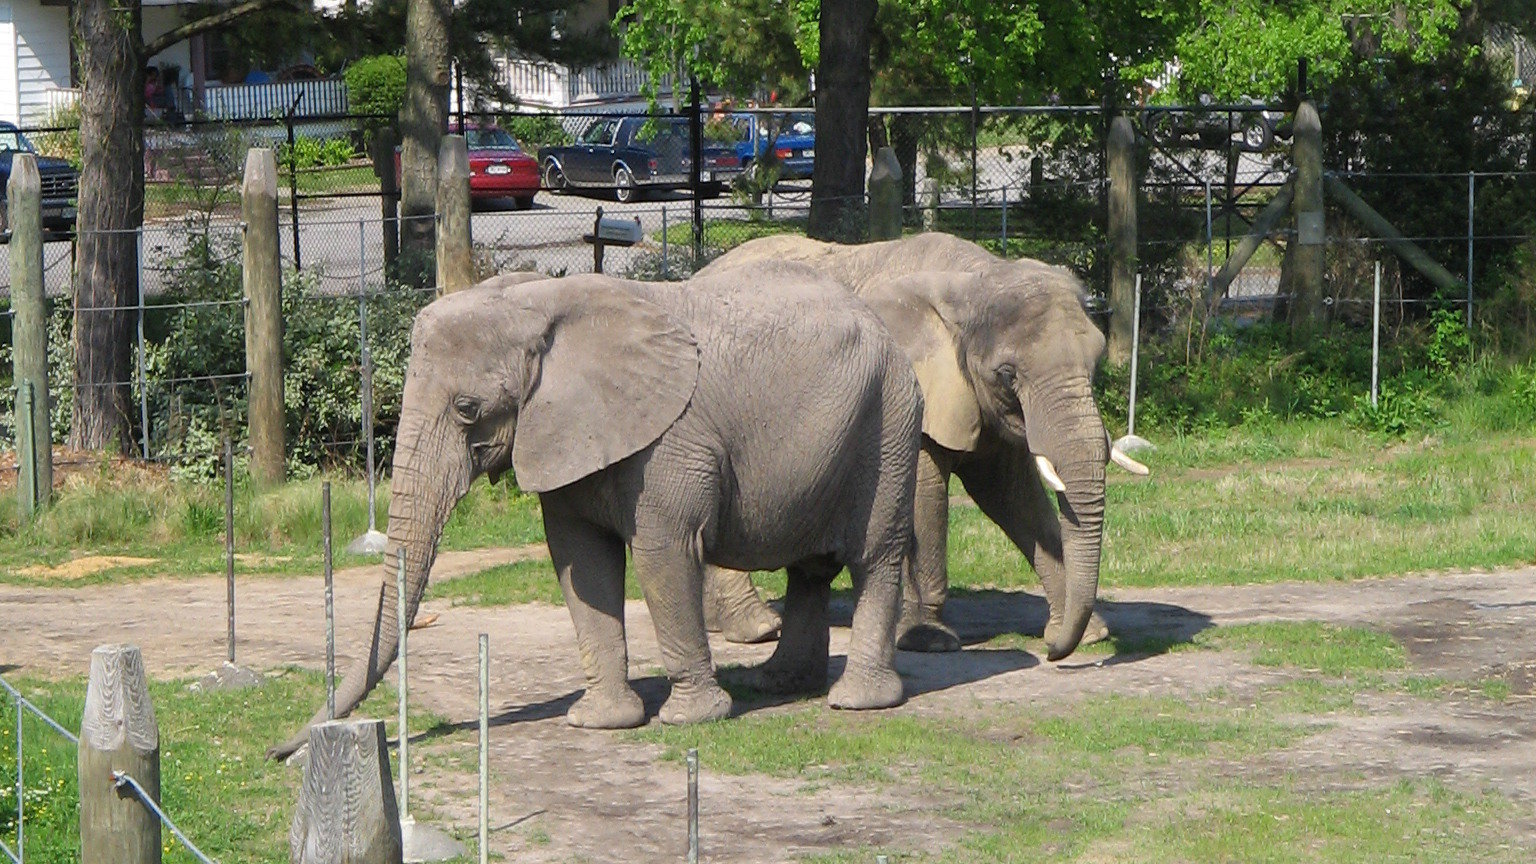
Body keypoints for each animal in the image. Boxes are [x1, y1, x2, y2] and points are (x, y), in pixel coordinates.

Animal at [270, 263, 922, 759]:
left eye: (466, 409)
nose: (279, 751)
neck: (540, 306)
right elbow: (580, 563)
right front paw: (600, 723)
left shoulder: (671, 439)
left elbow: (665, 554)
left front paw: (691, 720)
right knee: (810, 569)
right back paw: (779, 682)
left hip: (890, 420)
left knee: (875, 557)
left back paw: (856, 701)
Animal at [697, 233, 1147, 661]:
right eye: (1007, 374)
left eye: (1096, 359)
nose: (1053, 652)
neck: (976, 281)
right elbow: (927, 496)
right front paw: (930, 640)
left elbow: (1015, 499)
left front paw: (1090, 634)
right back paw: (756, 628)